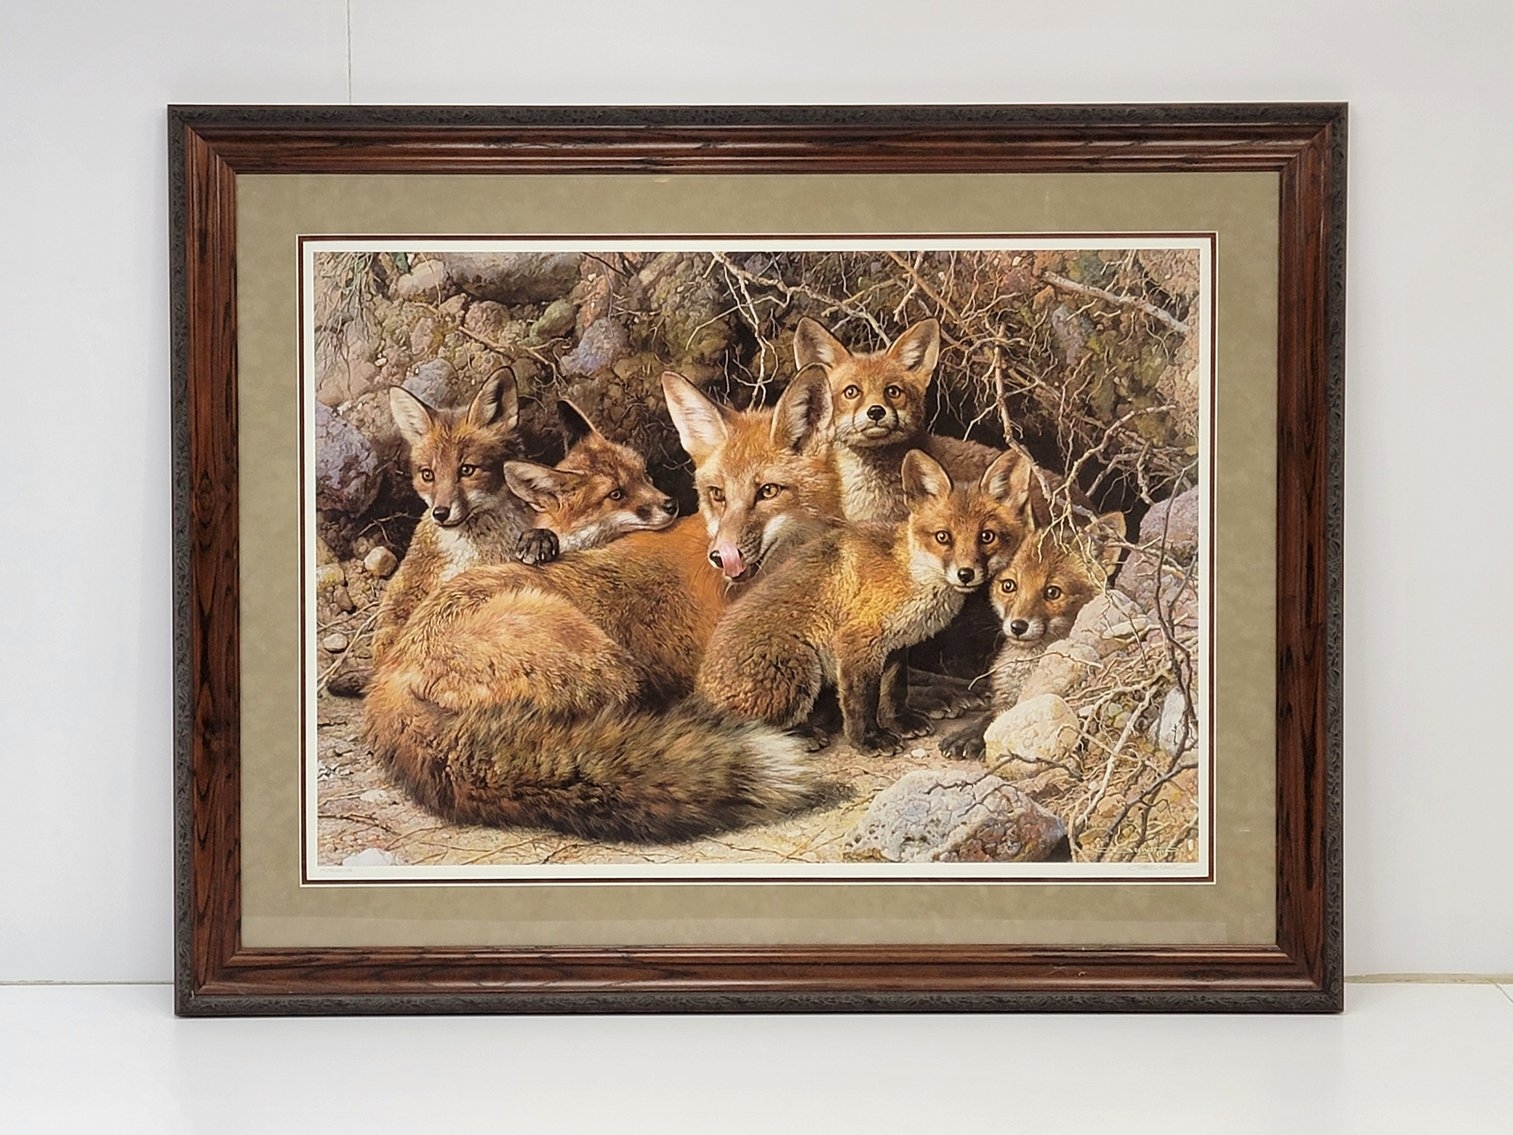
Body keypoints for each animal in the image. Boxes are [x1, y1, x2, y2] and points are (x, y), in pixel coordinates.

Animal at [695, 447, 1032, 753]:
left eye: (987, 537)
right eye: (943, 537)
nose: (966, 574)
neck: (907, 574)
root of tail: (697, 690)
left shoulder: (895, 645)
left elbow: (893, 691)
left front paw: (899, 722)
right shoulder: (856, 641)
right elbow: (861, 700)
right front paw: (867, 740)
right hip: (801, 668)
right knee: (749, 728)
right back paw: (802, 735)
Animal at [940, 508, 1127, 760]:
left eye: (1052, 592)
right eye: (1009, 586)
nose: (1018, 626)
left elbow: (998, 721)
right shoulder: (1005, 698)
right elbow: (990, 716)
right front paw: (967, 733)